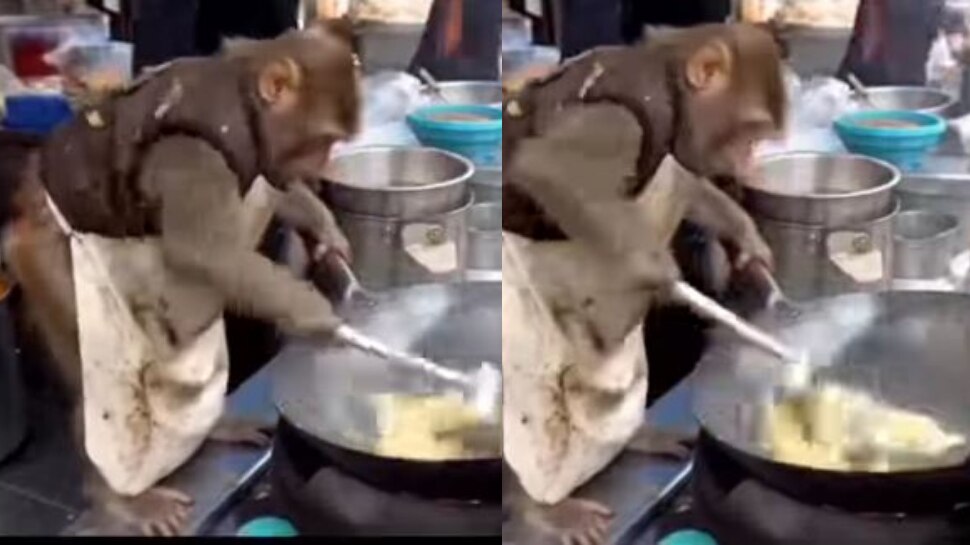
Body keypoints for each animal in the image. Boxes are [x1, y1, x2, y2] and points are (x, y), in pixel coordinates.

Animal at [2, 23, 359, 536]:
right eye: (321, 143)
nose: (320, 169)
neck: (241, 97)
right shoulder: (192, 155)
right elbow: (204, 251)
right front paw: (312, 311)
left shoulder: (261, 160)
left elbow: (275, 187)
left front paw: (326, 231)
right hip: (44, 262)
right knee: (100, 382)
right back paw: (119, 499)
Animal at [501, 24, 786, 545]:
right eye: (750, 133)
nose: (750, 161)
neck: (667, 82)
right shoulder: (620, 120)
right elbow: (546, 167)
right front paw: (657, 275)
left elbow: (685, 178)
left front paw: (745, 236)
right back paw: (542, 510)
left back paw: (637, 436)